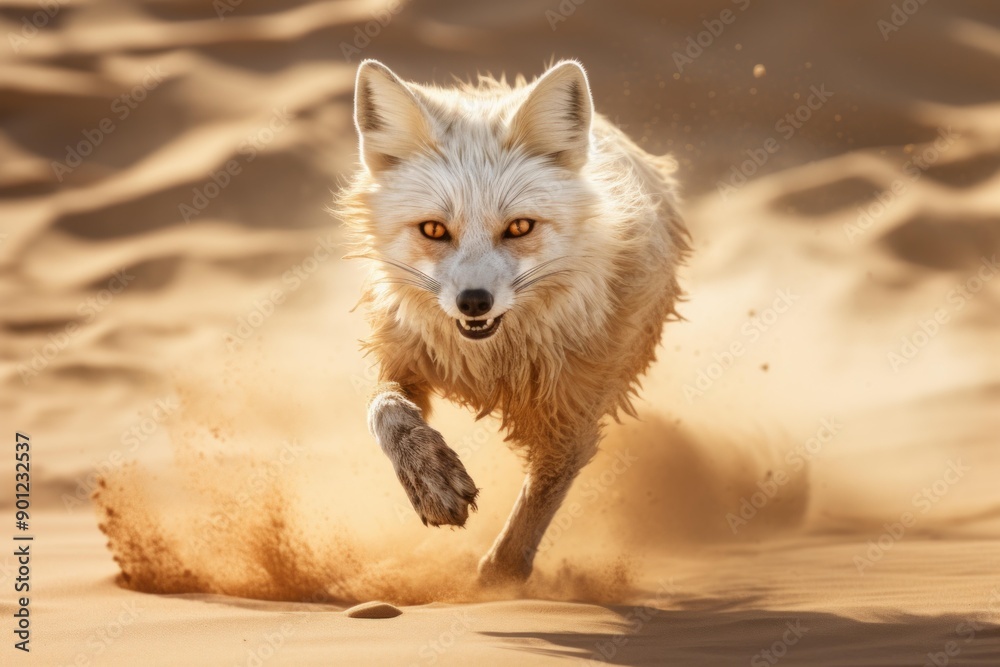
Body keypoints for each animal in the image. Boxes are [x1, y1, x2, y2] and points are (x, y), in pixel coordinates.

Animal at [336, 59, 689, 584]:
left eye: (520, 227)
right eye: (434, 230)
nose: (474, 303)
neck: (495, 365)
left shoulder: (574, 419)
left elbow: (532, 511)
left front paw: (494, 583)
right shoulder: (406, 356)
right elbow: (385, 410)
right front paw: (431, 478)